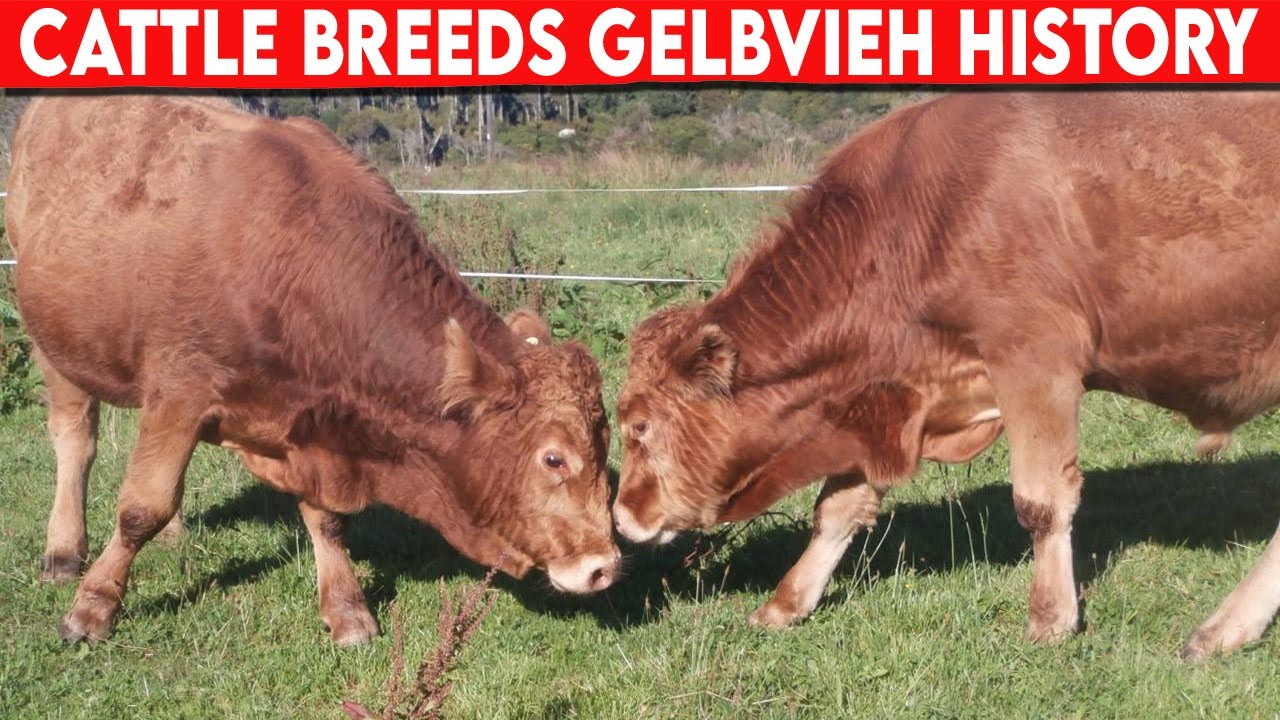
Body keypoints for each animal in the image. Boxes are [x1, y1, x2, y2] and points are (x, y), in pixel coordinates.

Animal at [6, 95, 620, 646]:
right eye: (553, 458)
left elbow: (325, 518)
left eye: (605, 449)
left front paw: (347, 610)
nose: (605, 565)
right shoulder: (181, 391)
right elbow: (141, 506)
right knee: (75, 441)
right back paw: (64, 551)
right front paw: (92, 608)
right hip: (51, 343)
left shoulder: (315, 420)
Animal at [613, 91, 1280, 660]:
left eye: (639, 425)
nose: (621, 516)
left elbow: (1040, 501)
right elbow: (839, 507)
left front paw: (1050, 619)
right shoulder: (885, 398)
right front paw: (786, 603)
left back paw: (1222, 627)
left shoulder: (1034, 360)